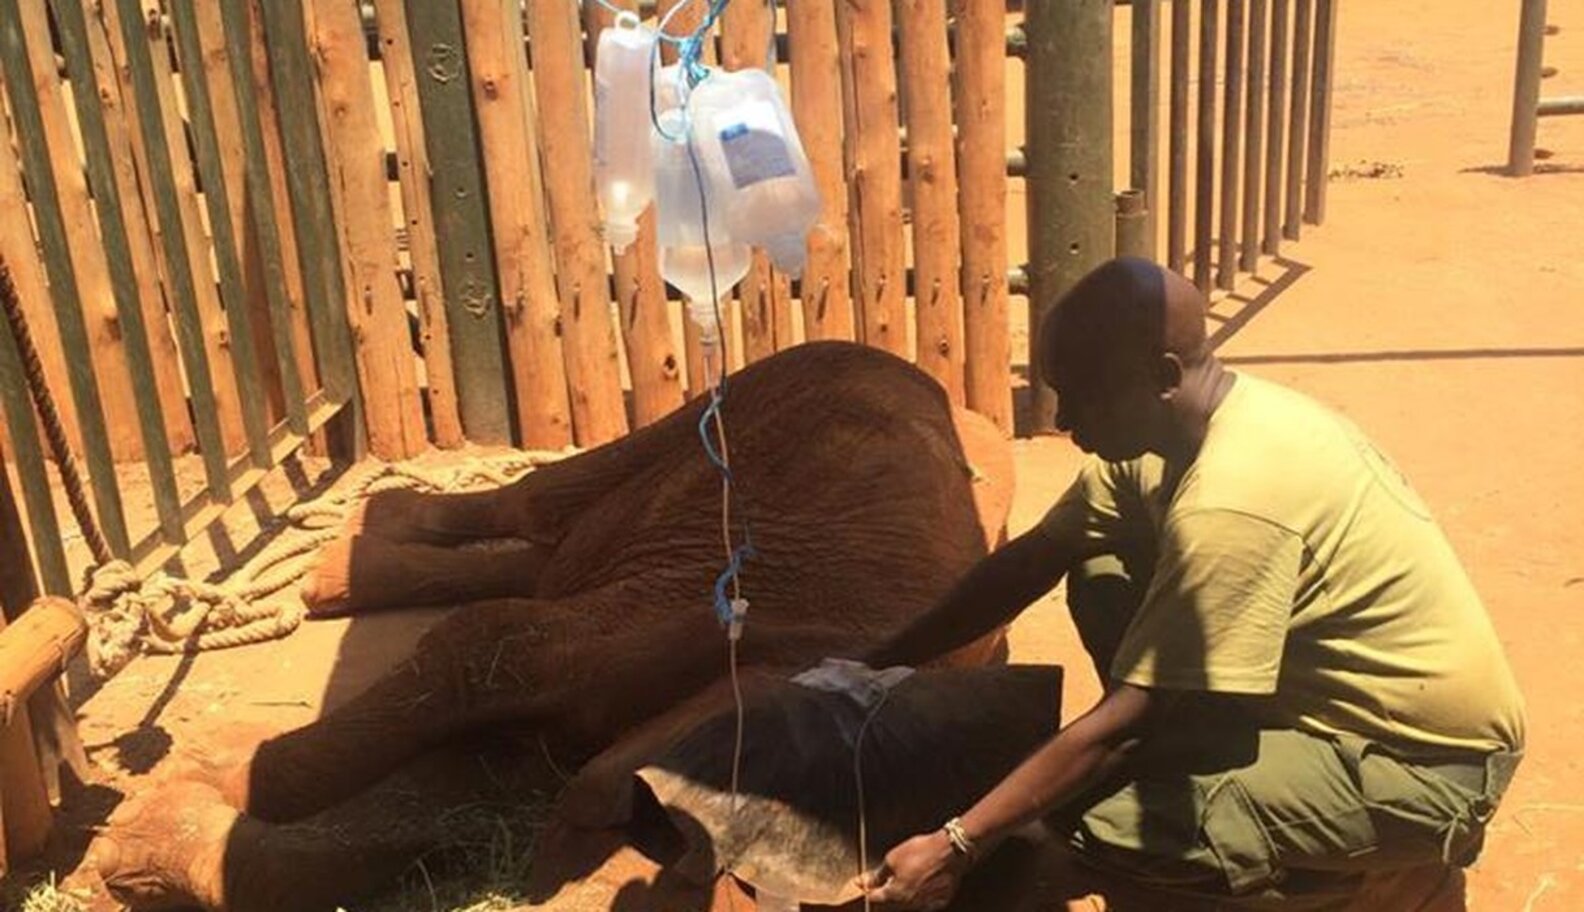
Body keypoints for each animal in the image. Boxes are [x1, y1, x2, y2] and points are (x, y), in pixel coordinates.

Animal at [86, 341, 1025, 911]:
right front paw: (210, 794)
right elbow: (491, 650)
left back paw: (332, 574)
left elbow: (475, 774)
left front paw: (152, 848)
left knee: (546, 555)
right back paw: (341, 556)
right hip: (734, 402)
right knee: (545, 503)